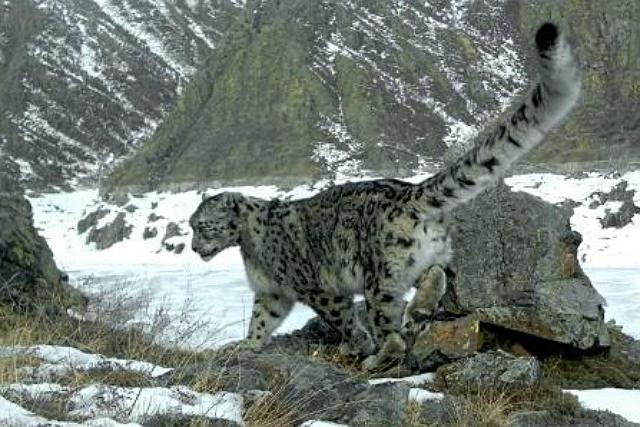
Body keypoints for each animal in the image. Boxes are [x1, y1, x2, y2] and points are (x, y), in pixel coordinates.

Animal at [189, 23, 580, 370]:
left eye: (203, 226)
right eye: (191, 225)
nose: (193, 248)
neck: (250, 245)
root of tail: (410, 193)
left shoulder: (316, 288)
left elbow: (342, 318)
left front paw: (354, 344)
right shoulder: (271, 293)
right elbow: (260, 320)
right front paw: (246, 346)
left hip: (379, 278)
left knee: (388, 328)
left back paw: (378, 356)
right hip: (426, 255)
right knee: (436, 276)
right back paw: (419, 311)